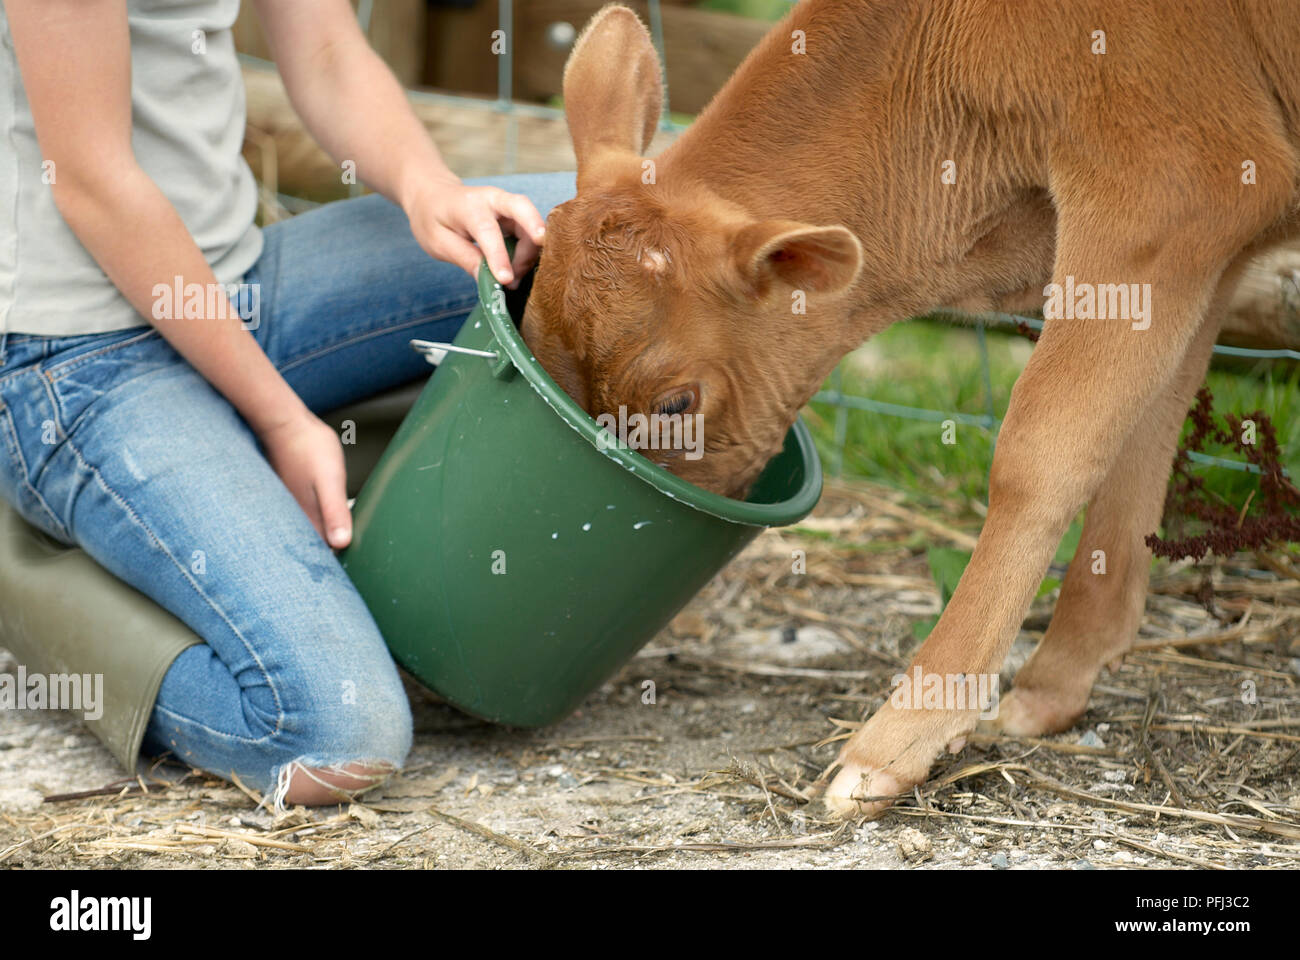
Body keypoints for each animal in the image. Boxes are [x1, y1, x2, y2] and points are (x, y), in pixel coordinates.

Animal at [519, 0, 1300, 818]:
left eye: (674, 404)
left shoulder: (1171, 186)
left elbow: (1042, 453)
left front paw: (900, 738)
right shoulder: (1207, 242)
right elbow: (1142, 436)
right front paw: (1061, 680)